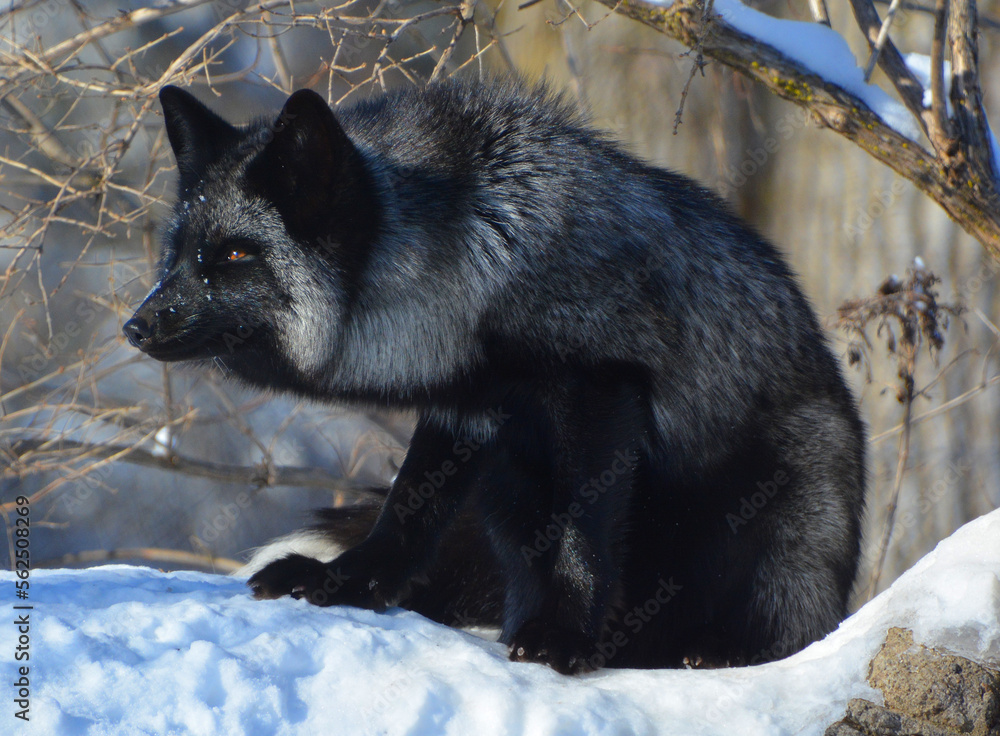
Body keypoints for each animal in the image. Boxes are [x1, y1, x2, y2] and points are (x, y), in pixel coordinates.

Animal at [124, 79, 866, 674]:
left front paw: (565, 637)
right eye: (178, 255)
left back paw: (713, 649)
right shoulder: (468, 409)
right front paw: (351, 583)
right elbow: (407, 511)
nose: (136, 325)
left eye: (233, 256)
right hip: (509, 495)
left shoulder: (601, 388)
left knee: (791, 628)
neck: (486, 256)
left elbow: (583, 532)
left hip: (783, 528)